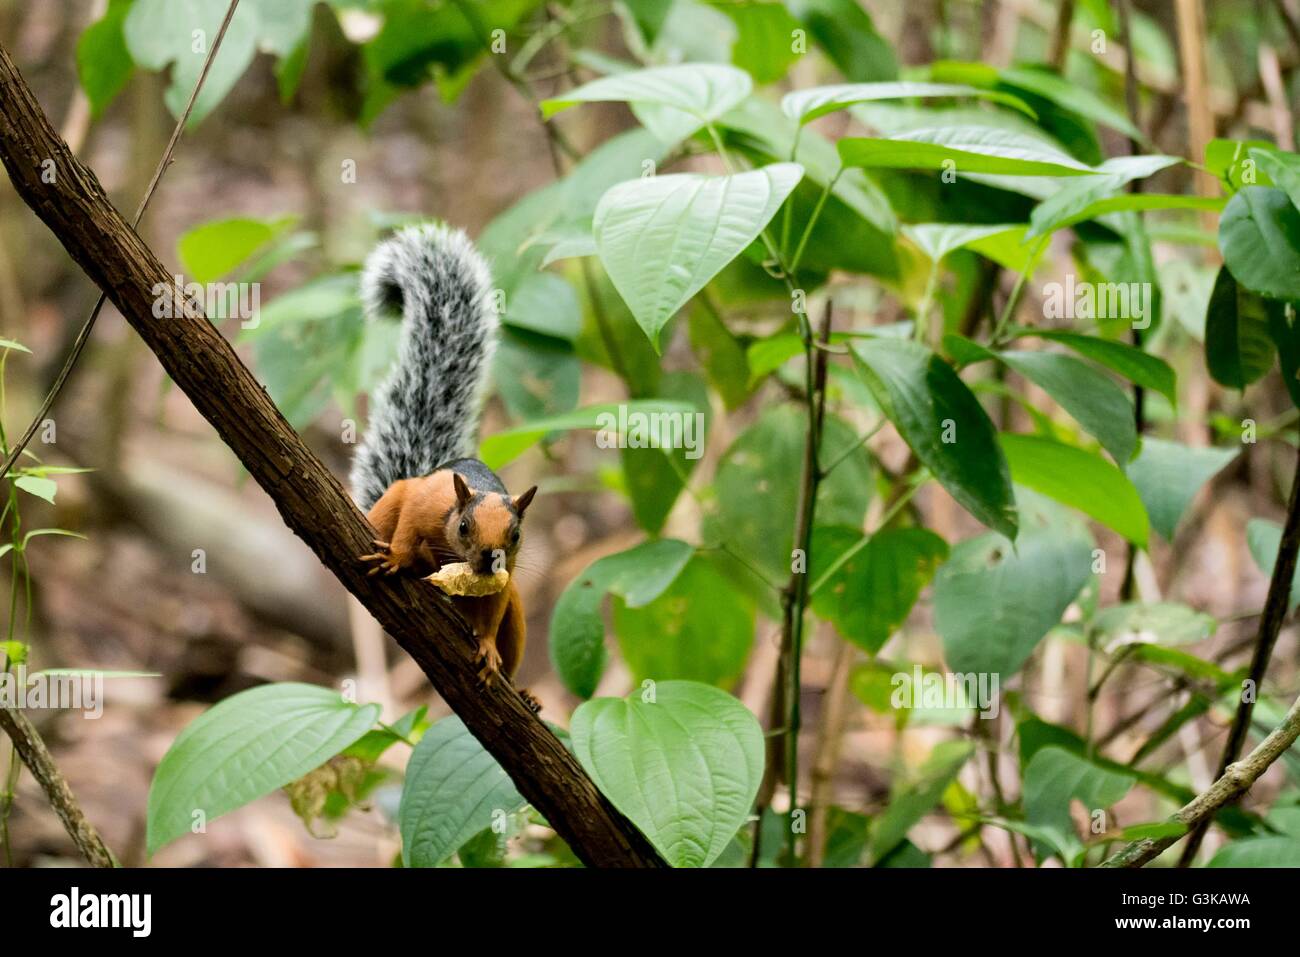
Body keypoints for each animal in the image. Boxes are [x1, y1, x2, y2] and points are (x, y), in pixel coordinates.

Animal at [350, 224, 539, 709]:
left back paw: (524, 692)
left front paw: (487, 648)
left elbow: (492, 614)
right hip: (391, 502)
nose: (487, 559)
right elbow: (409, 526)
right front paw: (398, 555)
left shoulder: (503, 577)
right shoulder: (425, 501)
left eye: (515, 535)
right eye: (465, 527)